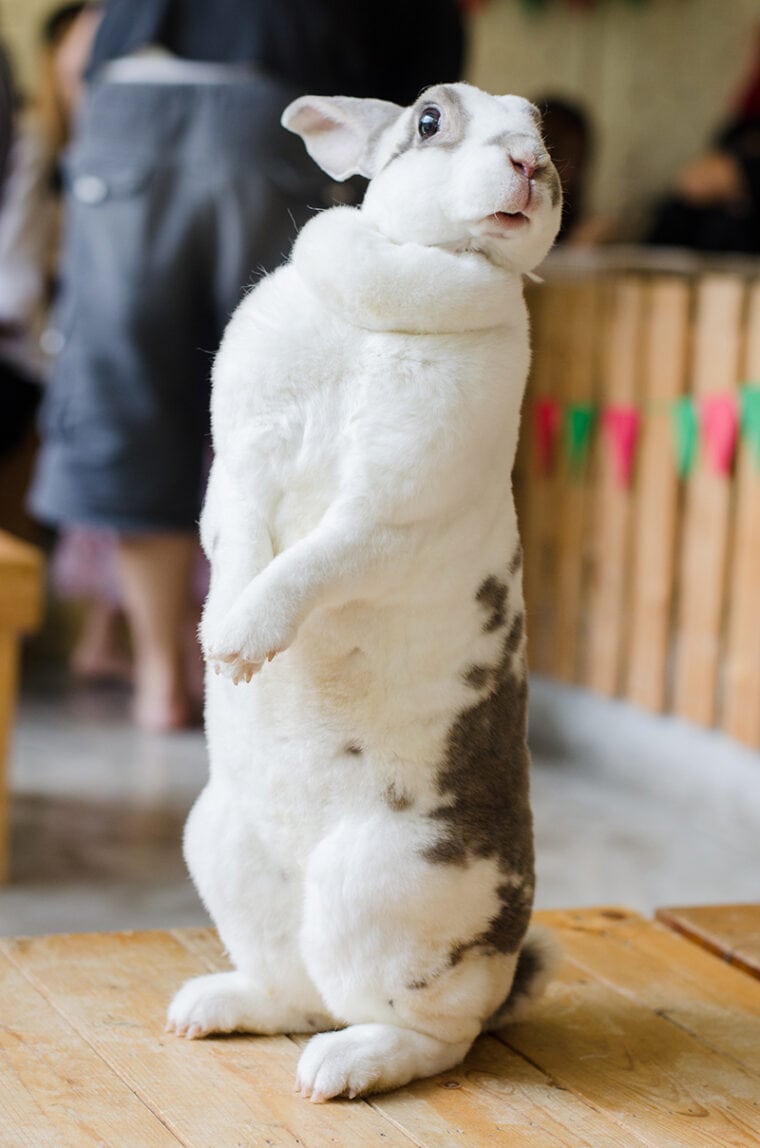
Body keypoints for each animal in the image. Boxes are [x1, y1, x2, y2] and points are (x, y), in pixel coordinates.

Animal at [166, 81, 563, 1102]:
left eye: (540, 129)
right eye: (428, 120)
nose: (530, 169)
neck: (392, 307)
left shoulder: (389, 517)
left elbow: (315, 562)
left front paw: (244, 642)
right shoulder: (244, 467)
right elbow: (242, 540)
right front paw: (222, 639)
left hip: (381, 889)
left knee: (432, 1036)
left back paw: (344, 1069)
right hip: (223, 849)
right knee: (293, 991)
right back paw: (210, 1009)